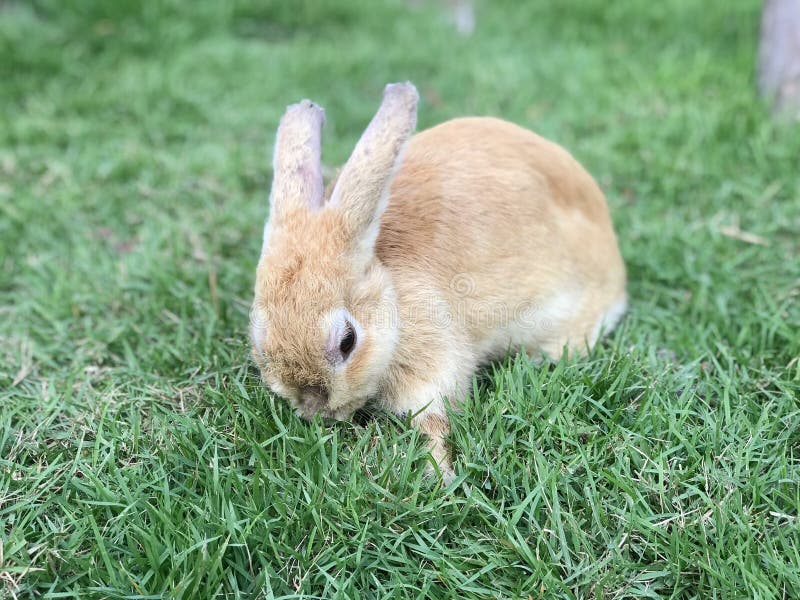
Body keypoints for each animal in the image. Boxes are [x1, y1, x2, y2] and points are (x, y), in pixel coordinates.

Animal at [250, 82, 627, 483]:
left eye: (347, 341)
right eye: (260, 342)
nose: (314, 408)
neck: (393, 297)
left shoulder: (434, 361)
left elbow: (433, 419)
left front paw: (438, 472)